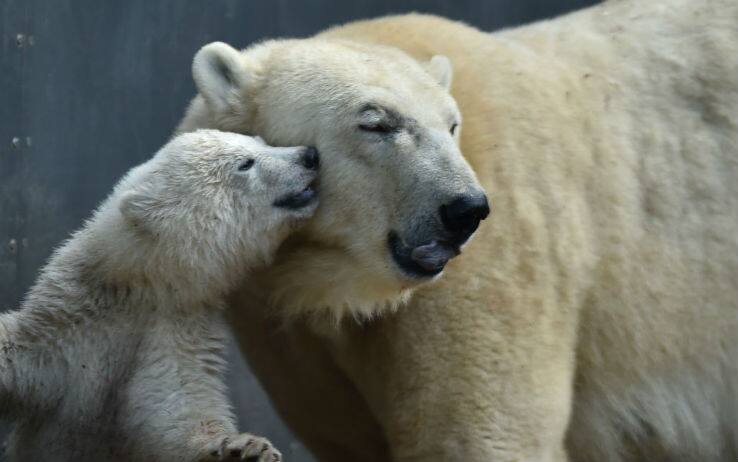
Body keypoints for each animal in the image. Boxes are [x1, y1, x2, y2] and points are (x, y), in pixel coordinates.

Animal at [0, 129, 320, 462]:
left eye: (260, 141)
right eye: (245, 163)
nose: (309, 155)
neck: (136, 281)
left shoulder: (173, 328)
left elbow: (175, 403)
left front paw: (244, 448)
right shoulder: (65, 321)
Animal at [176, 0, 738, 461]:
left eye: (452, 126)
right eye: (375, 123)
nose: (465, 210)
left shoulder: (499, 260)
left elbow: (475, 434)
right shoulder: (282, 325)